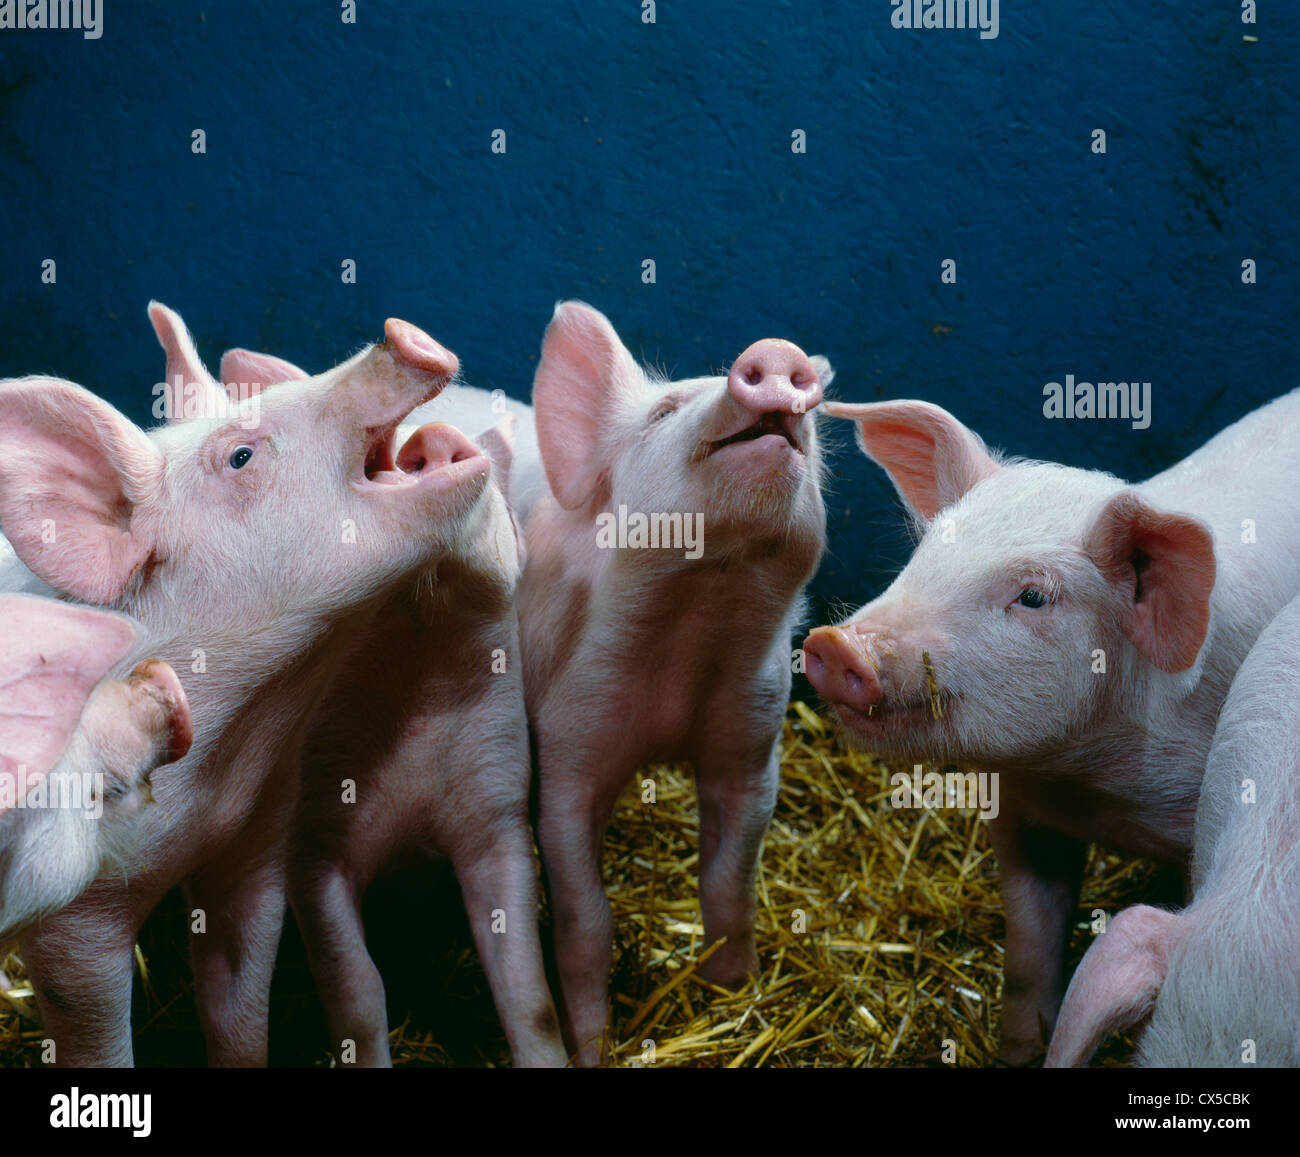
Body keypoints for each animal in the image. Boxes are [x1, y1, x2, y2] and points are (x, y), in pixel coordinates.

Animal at [212, 343, 566, 1067]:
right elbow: (357, 989)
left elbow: (527, 992)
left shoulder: (499, 808)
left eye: (498, 502)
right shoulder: (312, 841)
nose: (432, 436)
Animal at [504, 302, 830, 1065]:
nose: (778, 352)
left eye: (817, 434)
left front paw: (735, 992)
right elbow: (585, 917)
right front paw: (591, 1044)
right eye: (663, 412)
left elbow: (730, 882)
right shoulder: (566, 744)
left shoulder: (752, 740)